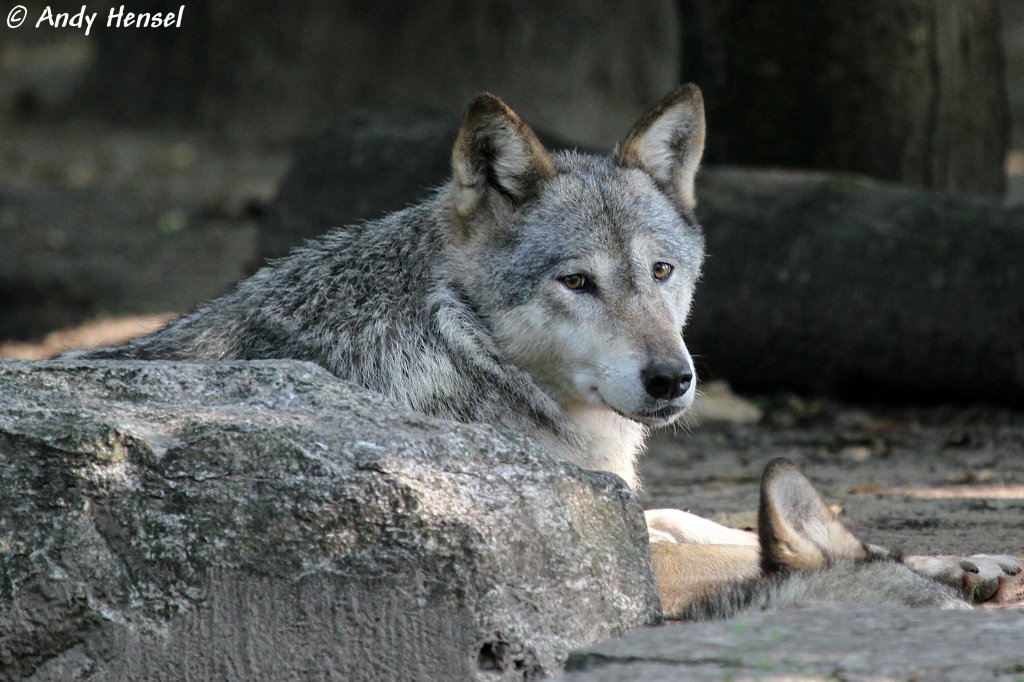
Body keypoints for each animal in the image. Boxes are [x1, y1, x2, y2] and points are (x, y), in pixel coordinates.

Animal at [70, 86, 1019, 611]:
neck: (462, 348)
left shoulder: (613, 497)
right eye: (577, 282)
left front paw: (963, 559)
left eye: (661, 271)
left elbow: (701, 519)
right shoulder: (586, 532)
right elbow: (716, 547)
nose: (672, 380)